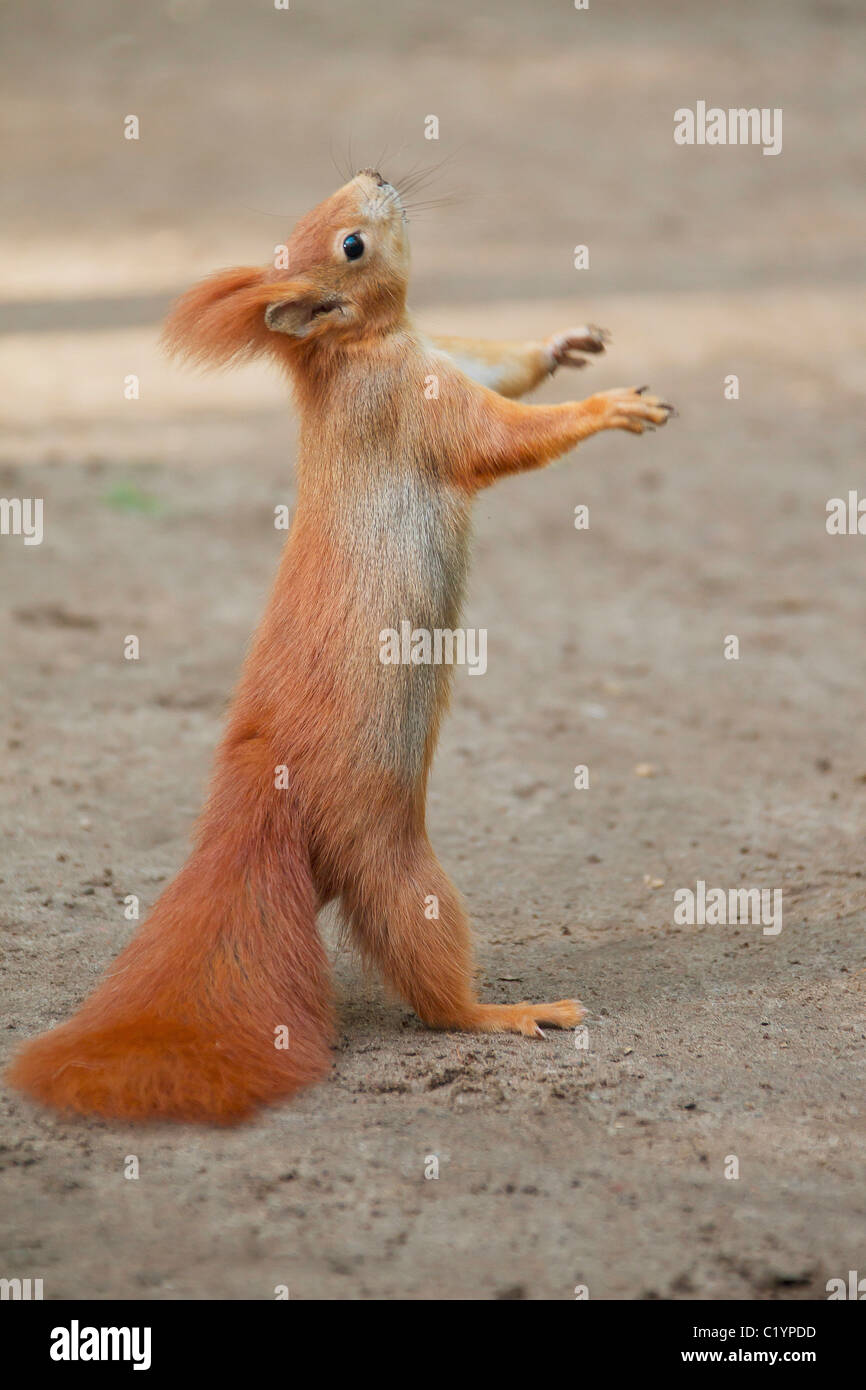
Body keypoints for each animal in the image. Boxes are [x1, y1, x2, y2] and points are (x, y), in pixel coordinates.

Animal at [7, 170, 675, 1123]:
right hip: (395, 860)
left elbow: (496, 359)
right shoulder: (417, 407)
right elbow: (503, 438)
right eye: (350, 245)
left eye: (311, 217)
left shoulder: (445, 357)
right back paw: (511, 1012)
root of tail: (261, 807)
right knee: (431, 984)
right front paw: (611, 406)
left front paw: (567, 341)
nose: (377, 175)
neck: (363, 348)